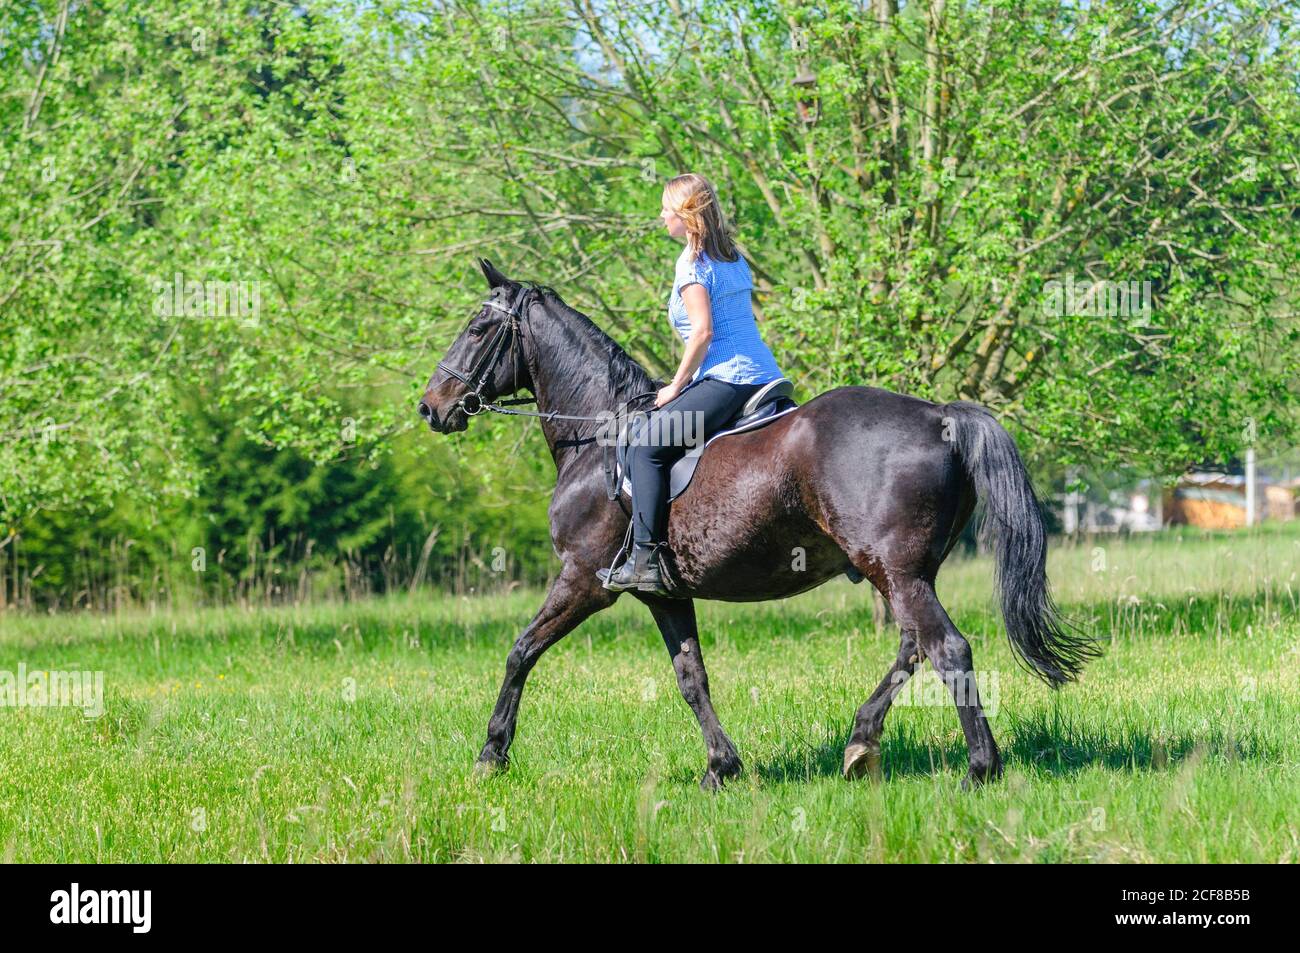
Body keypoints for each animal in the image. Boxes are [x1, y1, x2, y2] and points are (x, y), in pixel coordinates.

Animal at [419, 258, 1098, 790]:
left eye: (477, 328)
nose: (431, 408)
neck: (599, 433)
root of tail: (941, 416)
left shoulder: (584, 578)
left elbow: (520, 652)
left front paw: (491, 755)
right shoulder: (664, 593)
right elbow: (691, 677)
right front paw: (721, 768)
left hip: (896, 570)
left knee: (948, 648)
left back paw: (980, 770)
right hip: (902, 571)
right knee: (913, 646)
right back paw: (861, 744)